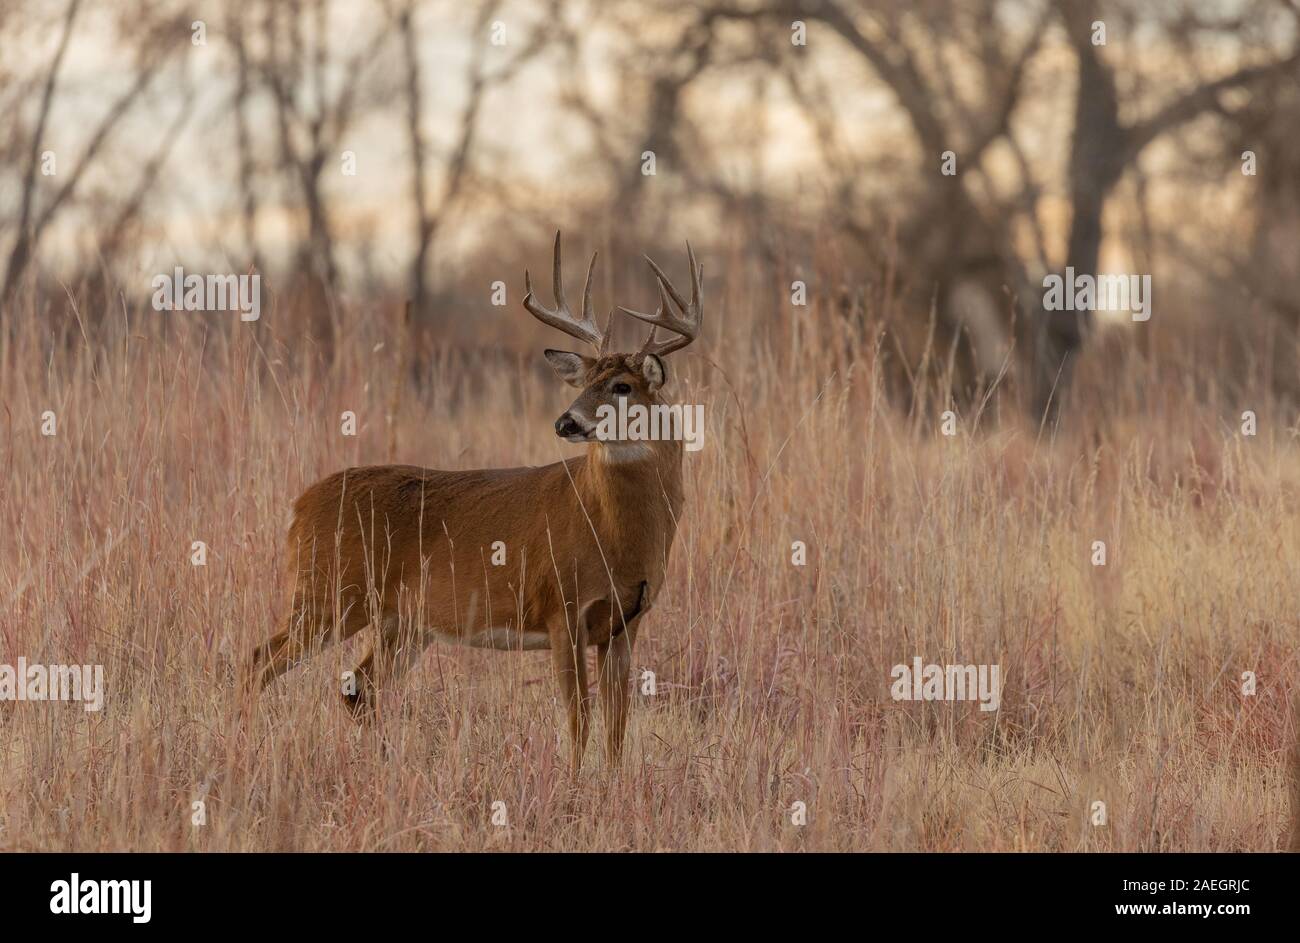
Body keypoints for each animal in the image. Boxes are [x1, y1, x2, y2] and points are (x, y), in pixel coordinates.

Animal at [244, 232, 702, 775]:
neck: (614, 532)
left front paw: (609, 783)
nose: (565, 422)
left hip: (403, 620)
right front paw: (573, 782)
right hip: (328, 592)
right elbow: (580, 717)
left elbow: (617, 727)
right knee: (258, 663)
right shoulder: (561, 607)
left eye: (622, 386)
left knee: (358, 688)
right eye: (583, 382)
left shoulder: (626, 624)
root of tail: (298, 508)